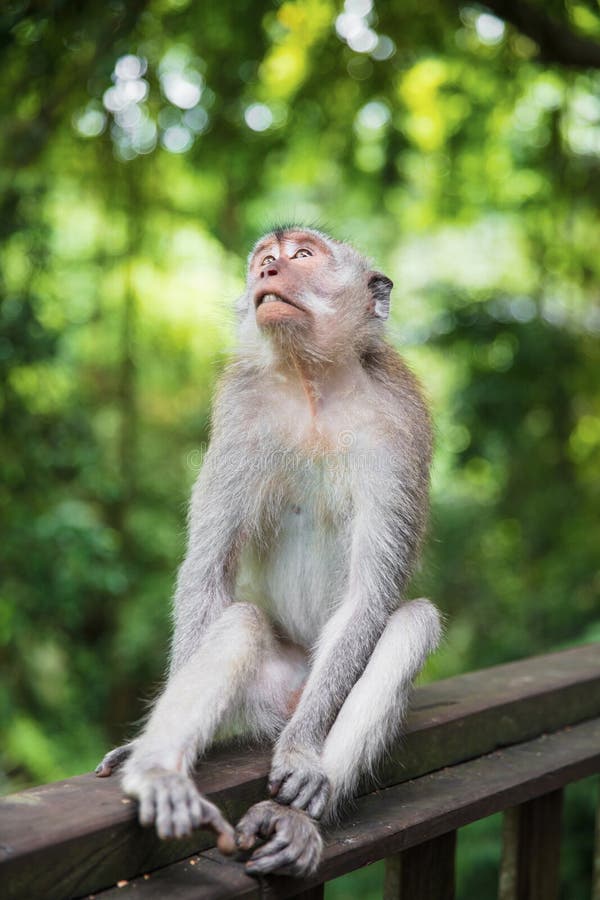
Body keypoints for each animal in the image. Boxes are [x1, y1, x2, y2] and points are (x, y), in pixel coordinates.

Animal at [95, 226, 441, 877]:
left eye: (303, 255)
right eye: (265, 258)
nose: (269, 273)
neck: (314, 385)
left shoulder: (398, 426)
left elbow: (369, 596)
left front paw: (304, 756)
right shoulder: (240, 412)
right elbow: (208, 572)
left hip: (314, 691)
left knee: (413, 622)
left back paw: (298, 811)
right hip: (259, 698)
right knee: (241, 622)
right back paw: (159, 771)